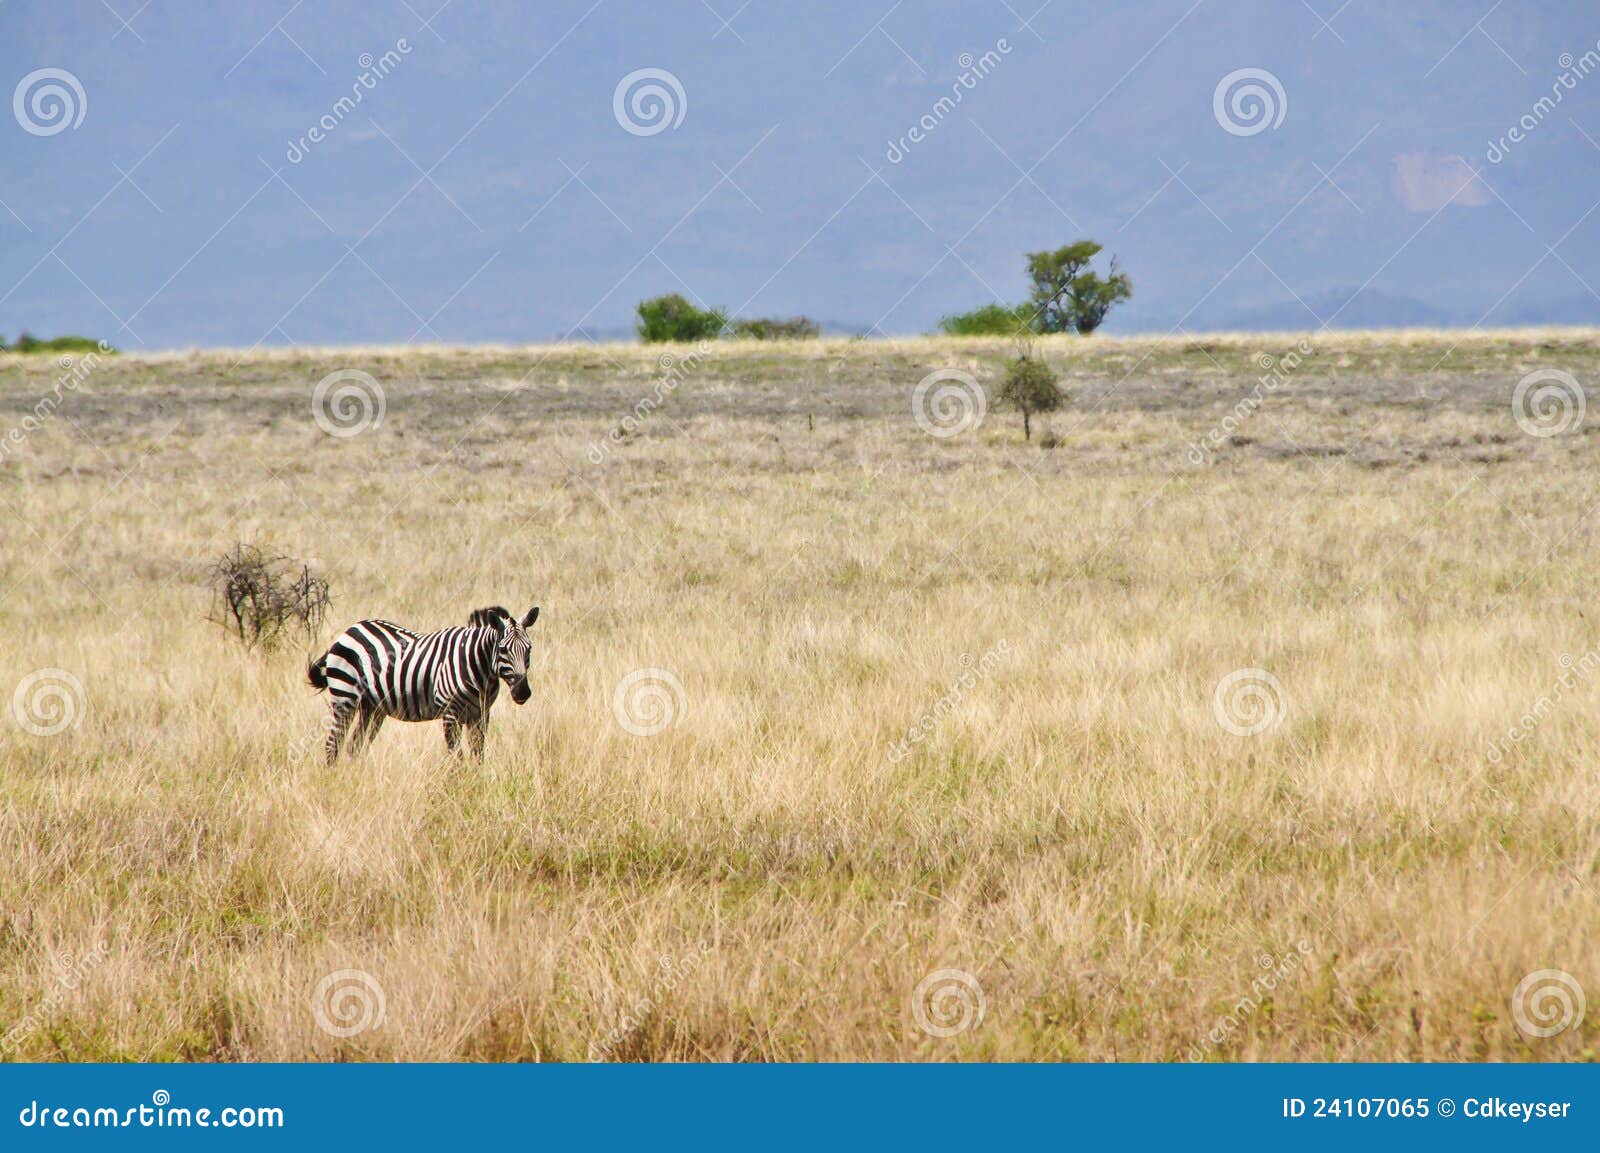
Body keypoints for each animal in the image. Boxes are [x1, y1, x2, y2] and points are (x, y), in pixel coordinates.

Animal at [307, 604, 539, 763]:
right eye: (503, 650)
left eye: (529, 649)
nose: (523, 693)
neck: (481, 671)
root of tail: (349, 630)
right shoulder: (450, 714)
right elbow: (457, 758)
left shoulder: (480, 715)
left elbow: (478, 755)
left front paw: (478, 782)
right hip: (344, 697)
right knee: (332, 744)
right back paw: (334, 780)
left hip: (372, 706)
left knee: (354, 746)